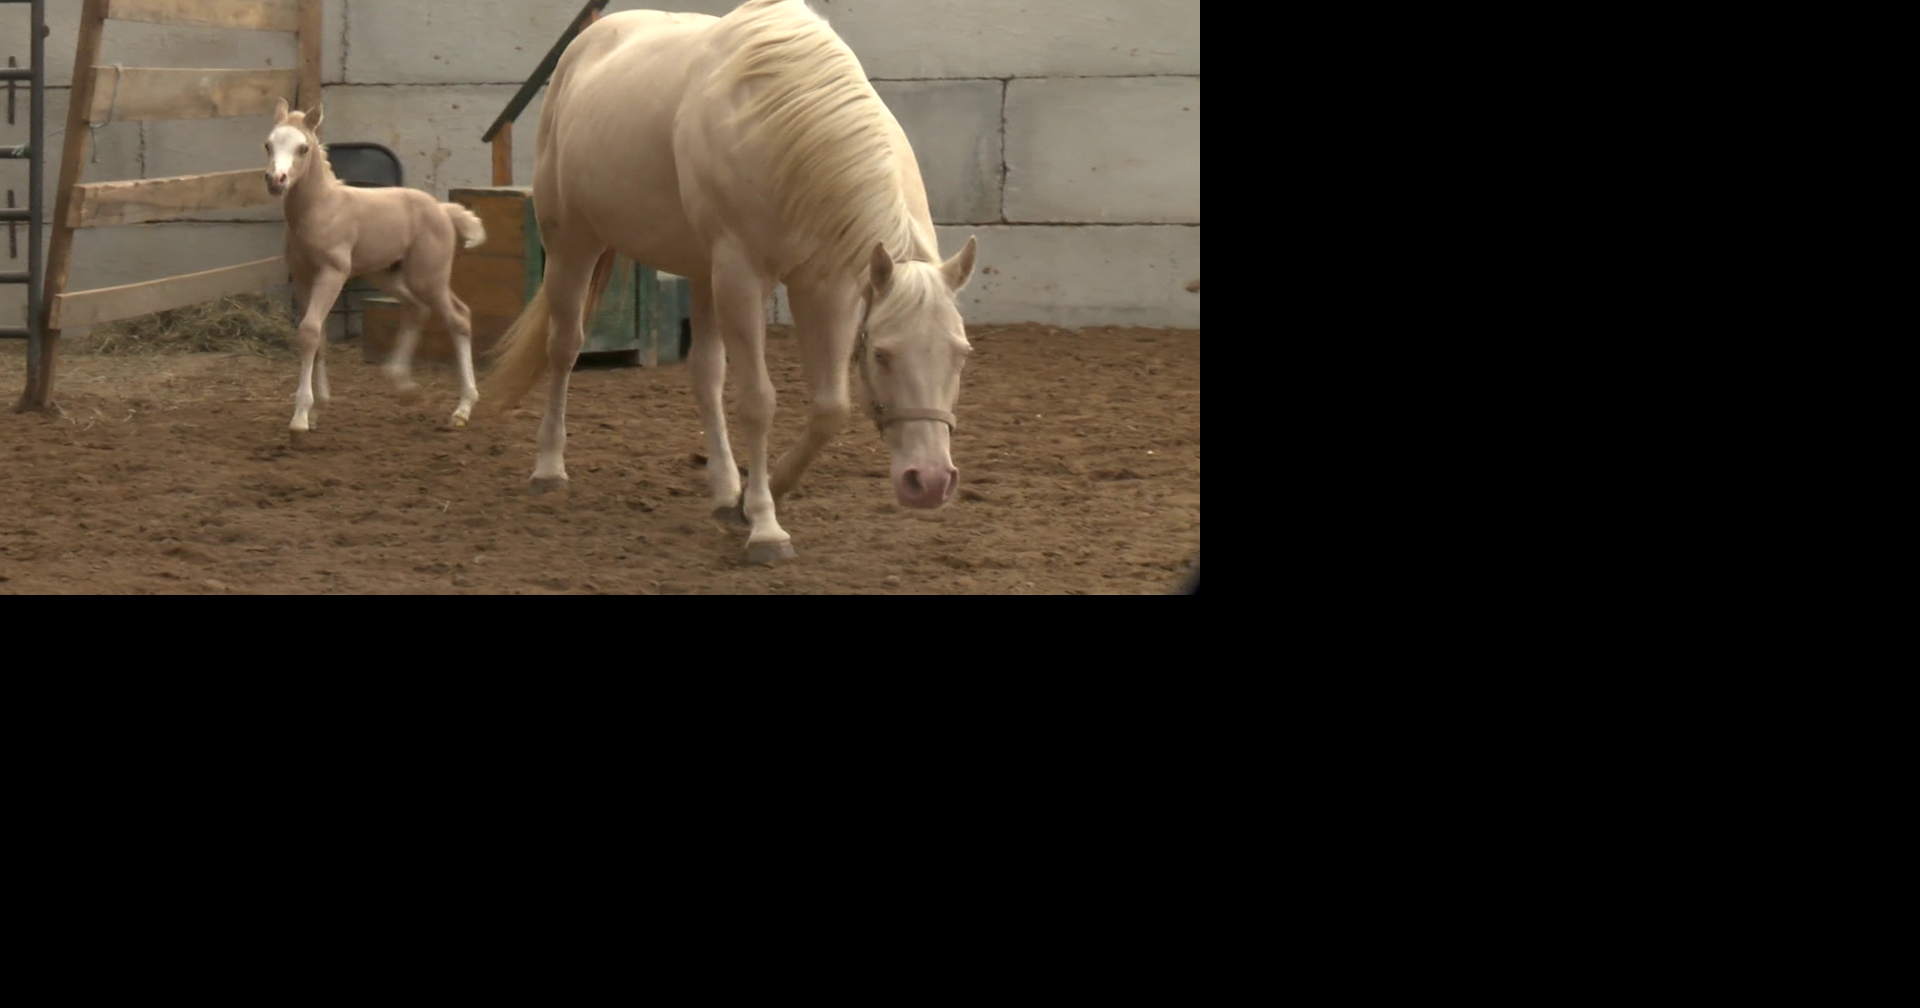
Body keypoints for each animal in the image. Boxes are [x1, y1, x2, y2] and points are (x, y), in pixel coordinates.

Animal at [263, 99, 489, 440]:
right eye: (268, 145)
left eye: (303, 148)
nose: (276, 180)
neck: (320, 208)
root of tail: (442, 209)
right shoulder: (303, 278)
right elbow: (318, 336)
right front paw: (317, 409)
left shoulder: (332, 273)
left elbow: (310, 331)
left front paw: (301, 415)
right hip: (388, 275)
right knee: (417, 309)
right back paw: (403, 383)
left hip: (427, 276)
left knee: (459, 318)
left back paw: (462, 408)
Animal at [479, 0, 978, 566]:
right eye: (882, 356)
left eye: (961, 354)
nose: (930, 482)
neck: (789, 126)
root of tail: (584, 48)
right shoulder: (742, 277)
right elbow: (758, 402)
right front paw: (765, 526)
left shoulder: (825, 285)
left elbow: (830, 407)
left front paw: (755, 498)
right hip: (573, 245)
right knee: (564, 348)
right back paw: (549, 468)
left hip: (701, 272)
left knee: (705, 374)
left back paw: (722, 489)